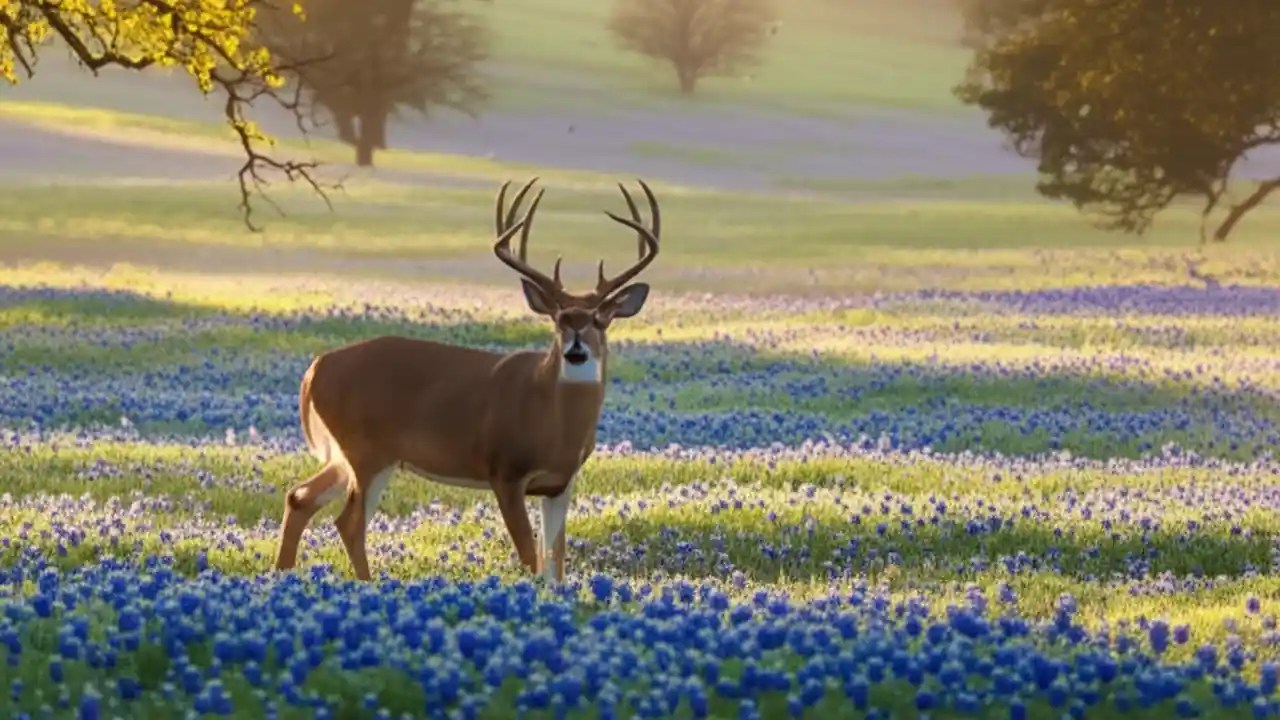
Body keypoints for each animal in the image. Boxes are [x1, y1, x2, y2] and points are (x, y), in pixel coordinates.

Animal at [272, 178, 661, 583]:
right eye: (559, 320)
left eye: (600, 319)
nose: (575, 347)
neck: (555, 423)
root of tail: (316, 367)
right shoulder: (505, 470)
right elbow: (530, 557)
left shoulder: (559, 483)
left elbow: (555, 561)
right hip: (366, 452)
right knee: (349, 523)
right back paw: (367, 582)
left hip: (349, 453)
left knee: (299, 497)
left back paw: (282, 574)